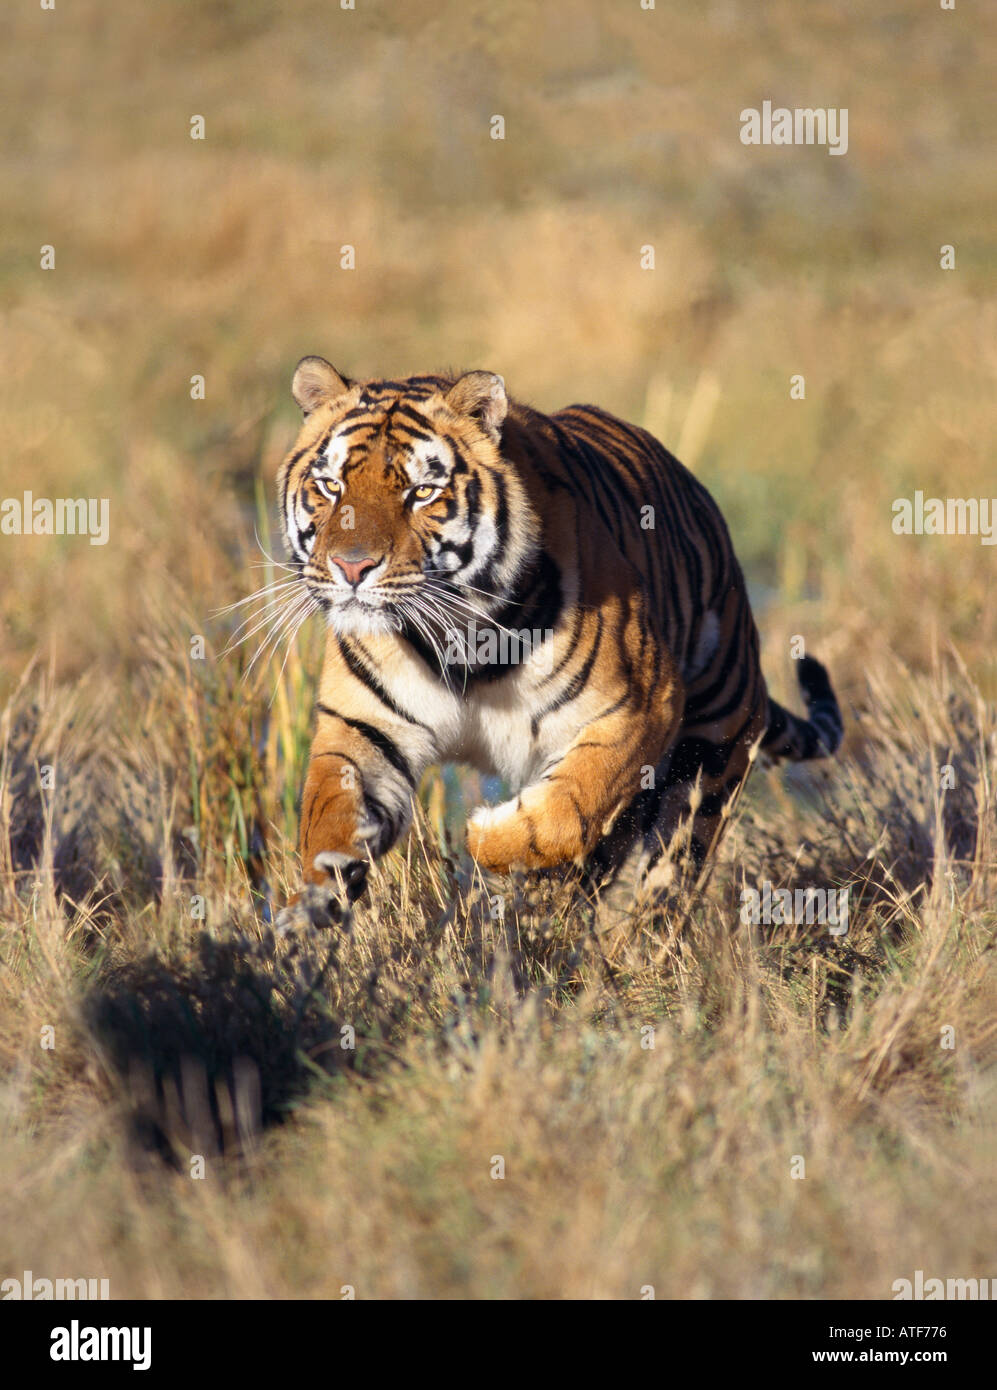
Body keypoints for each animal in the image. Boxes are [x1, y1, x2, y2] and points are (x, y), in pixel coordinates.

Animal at [275, 355, 843, 912]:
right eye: (331, 486)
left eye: (423, 493)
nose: (352, 567)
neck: (459, 642)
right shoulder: (361, 726)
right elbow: (326, 810)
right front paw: (317, 894)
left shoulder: (640, 706)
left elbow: (566, 811)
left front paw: (485, 832)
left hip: (712, 749)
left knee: (668, 880)